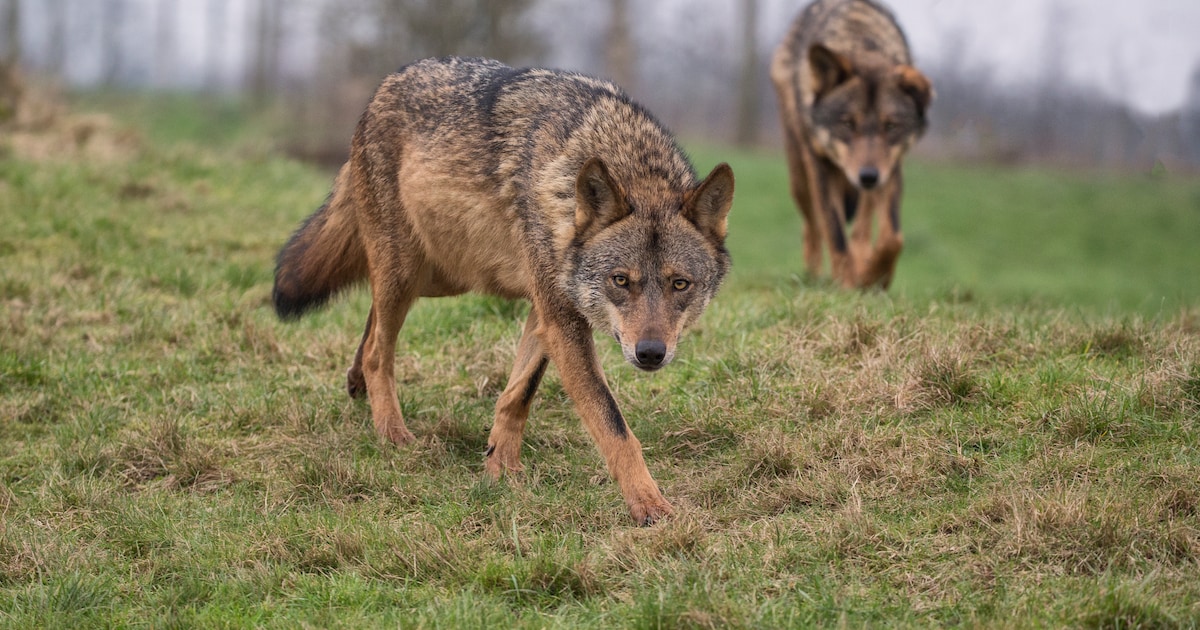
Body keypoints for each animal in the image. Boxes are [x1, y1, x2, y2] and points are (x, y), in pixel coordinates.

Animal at [272, 57, 735, 525]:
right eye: (620, 280)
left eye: (680, 284)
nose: (651, 353)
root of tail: (386, 83)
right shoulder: (561, 319)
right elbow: (613, 424)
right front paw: (649, 504)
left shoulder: (546, 311)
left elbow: (518, 394)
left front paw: (500, 469)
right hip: (407, 272)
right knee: (376, 351)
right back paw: (392, 433)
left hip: (439, 276)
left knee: (372, 321)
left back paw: (357, 386)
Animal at [770, 0, 932, 289]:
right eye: (846, 123)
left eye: (891, 126)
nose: (868, 176)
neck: (860, 40)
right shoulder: (821, 167)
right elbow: (834, 233)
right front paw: (845, 285)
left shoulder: (891, 169)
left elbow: (892, 238)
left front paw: (875, 279)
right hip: (800, 178)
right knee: (812, 227)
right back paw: (813, 275)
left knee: (861, 228)